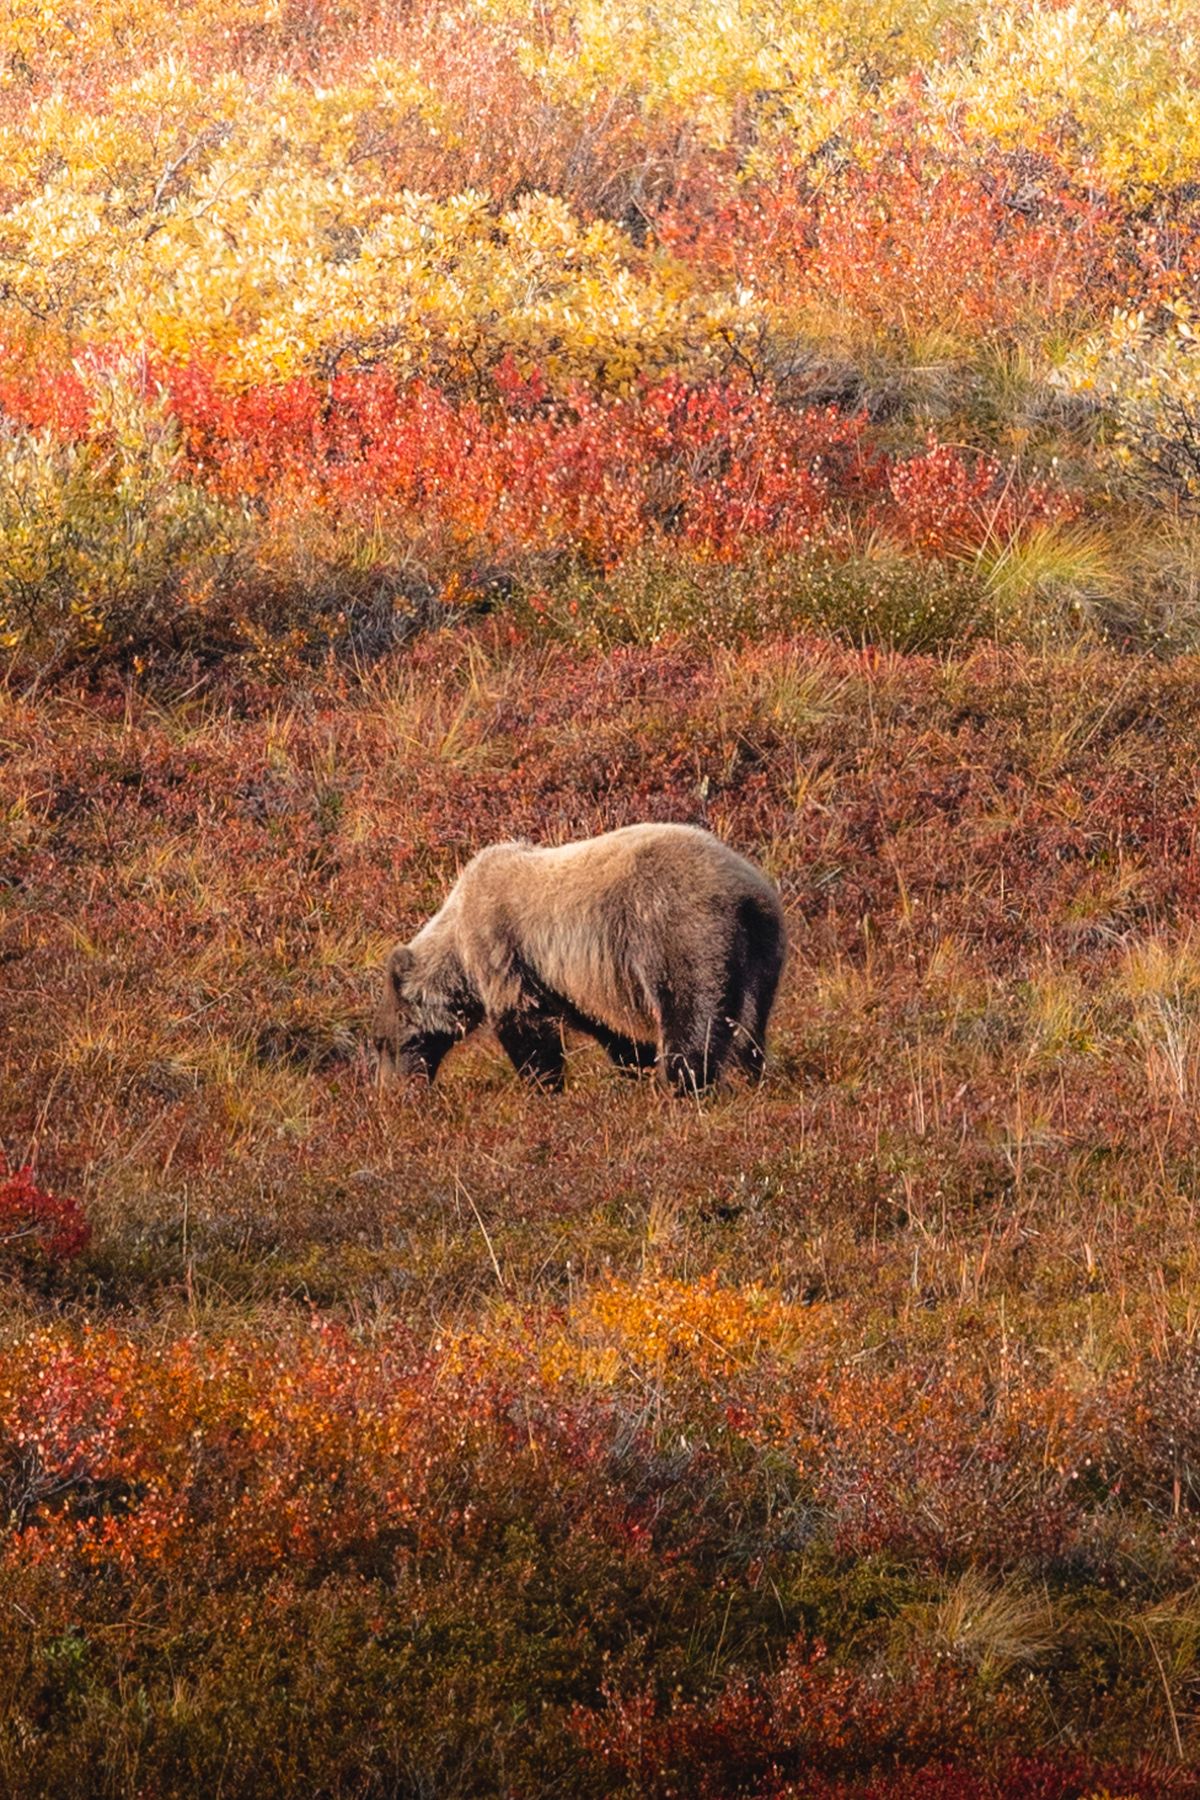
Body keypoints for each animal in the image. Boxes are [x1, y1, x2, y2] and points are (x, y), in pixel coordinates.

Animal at [372, 822, 786, 1095]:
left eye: (382, 1042)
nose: (394, 1094)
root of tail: (745, 892)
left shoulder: (504, 949)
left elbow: (524, 1024)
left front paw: (544, 1085)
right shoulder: (569, 978)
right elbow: (606, 1024)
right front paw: (632, 1064)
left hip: (678, 930)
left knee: (691, 1009)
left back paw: (685, 1081)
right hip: (762, 949)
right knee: (751, 1019)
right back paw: (749, 1072)